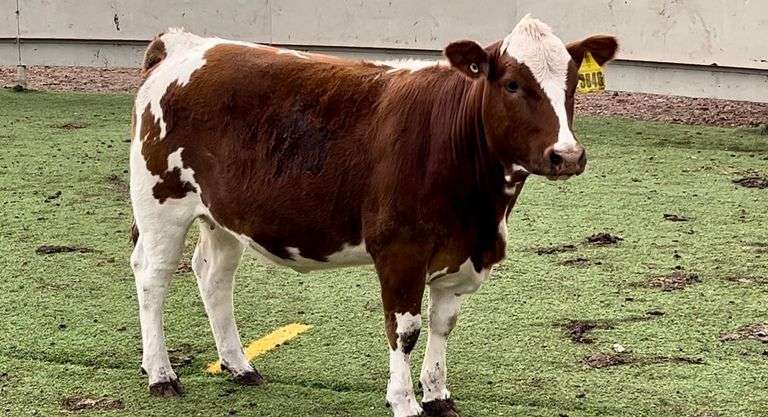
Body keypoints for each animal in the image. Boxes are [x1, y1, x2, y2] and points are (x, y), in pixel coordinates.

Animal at [129, 15, 617, 417]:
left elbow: (443, 324)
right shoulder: (400, 252)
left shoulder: (460, 255)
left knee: (213, 276)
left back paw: (239, 365)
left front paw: (437, 396)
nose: (567, 155)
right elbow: (405, 329)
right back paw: (161, 374)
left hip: (223, 215)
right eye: (513, 84)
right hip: (160, 204)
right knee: (153, 277)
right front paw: (404, 402)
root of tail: (185, 43)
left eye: (572, 83)